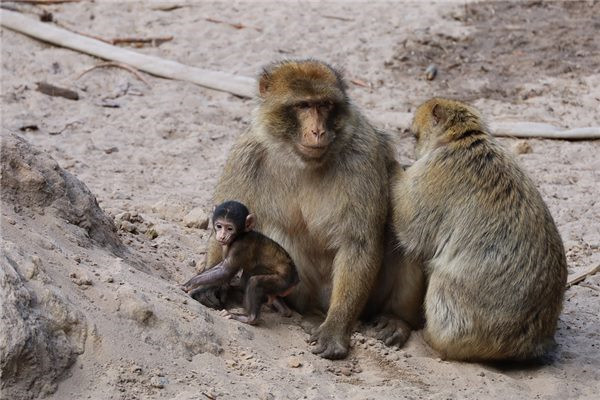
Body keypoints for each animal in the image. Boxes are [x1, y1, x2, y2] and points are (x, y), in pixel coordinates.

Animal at [202, 60, 422, 360]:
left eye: (326, 105)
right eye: (303, 105)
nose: (318, 131)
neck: (300, 157)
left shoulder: (362, 153)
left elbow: (358, 241)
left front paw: (335, 328)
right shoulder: (246, 152)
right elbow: (225, 217)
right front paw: (211, 283)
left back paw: (394, 319)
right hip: (301, 290)